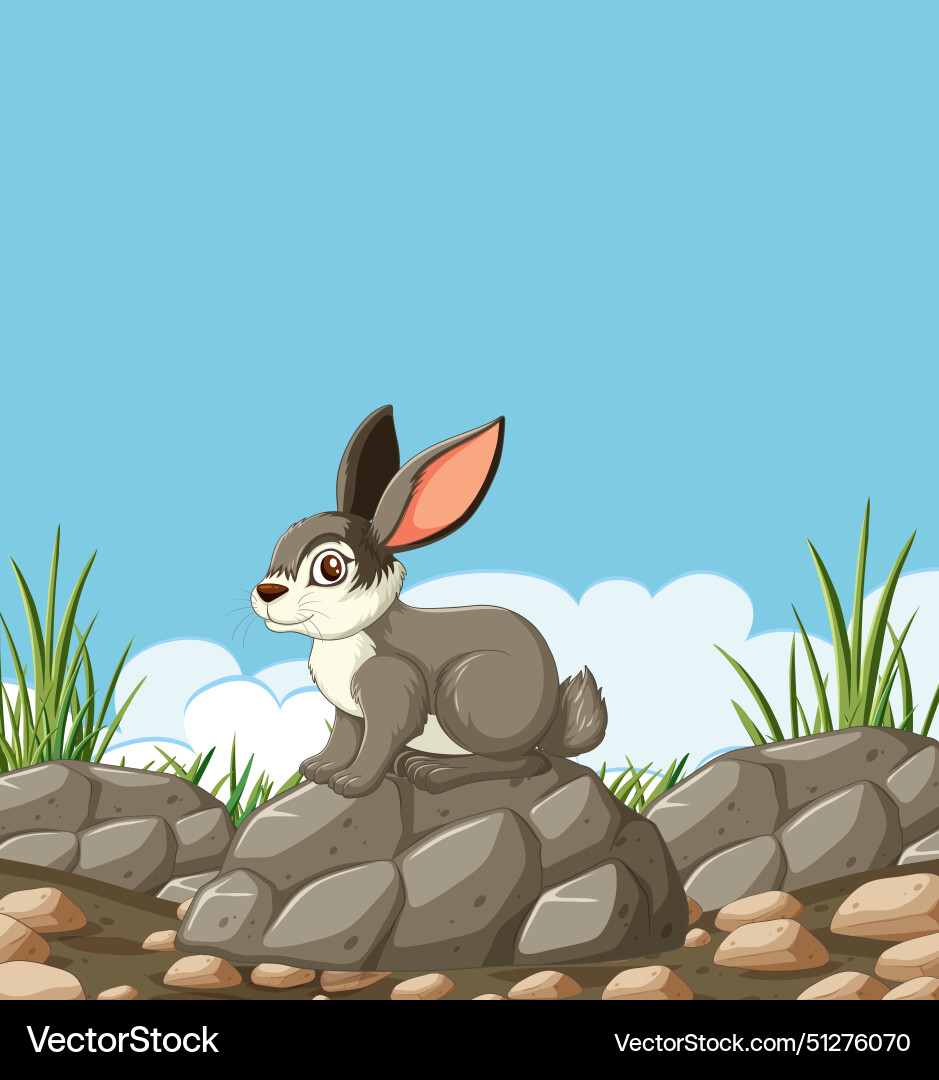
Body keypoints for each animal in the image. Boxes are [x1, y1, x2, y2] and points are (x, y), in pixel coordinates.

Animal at [252, 405, 607, 798]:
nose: (267, 593)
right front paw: (318, 768)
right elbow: (344, 738)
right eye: (280, 544)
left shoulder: (390, 689)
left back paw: (432, 770)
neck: (348, 639)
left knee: (524, 762)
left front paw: (352, 782)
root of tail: (547, 722)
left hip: (466, 693)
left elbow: (378, 742)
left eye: (330, 567)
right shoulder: (347, 712)